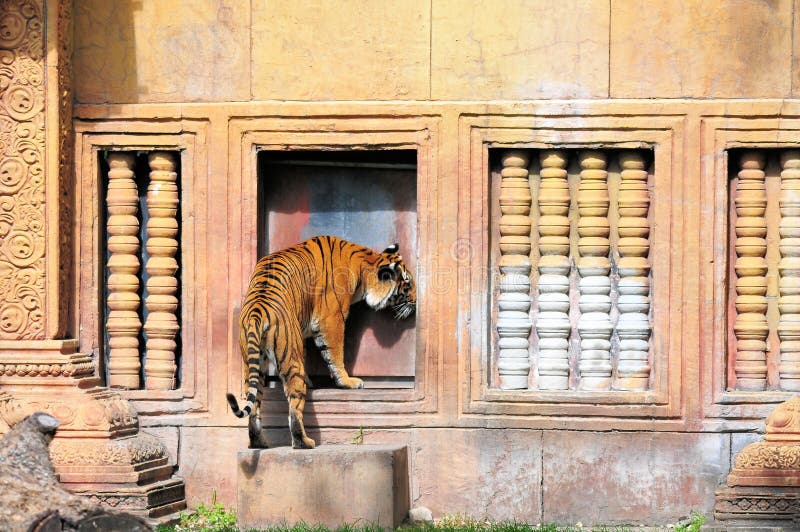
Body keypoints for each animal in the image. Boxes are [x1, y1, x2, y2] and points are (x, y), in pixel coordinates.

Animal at [226, 235, 416, 449]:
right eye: (407, 284)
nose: (416, 301)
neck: (363, 264)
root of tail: (257, 311)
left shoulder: (302, 331)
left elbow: (307, 354)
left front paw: (312, 380)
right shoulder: (332, 319)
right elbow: (335, 353)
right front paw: (348, 382)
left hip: (253, 364)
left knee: (254, 407)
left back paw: (259, 442)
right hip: (289, 358)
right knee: (294, 408)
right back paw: (305, 442)